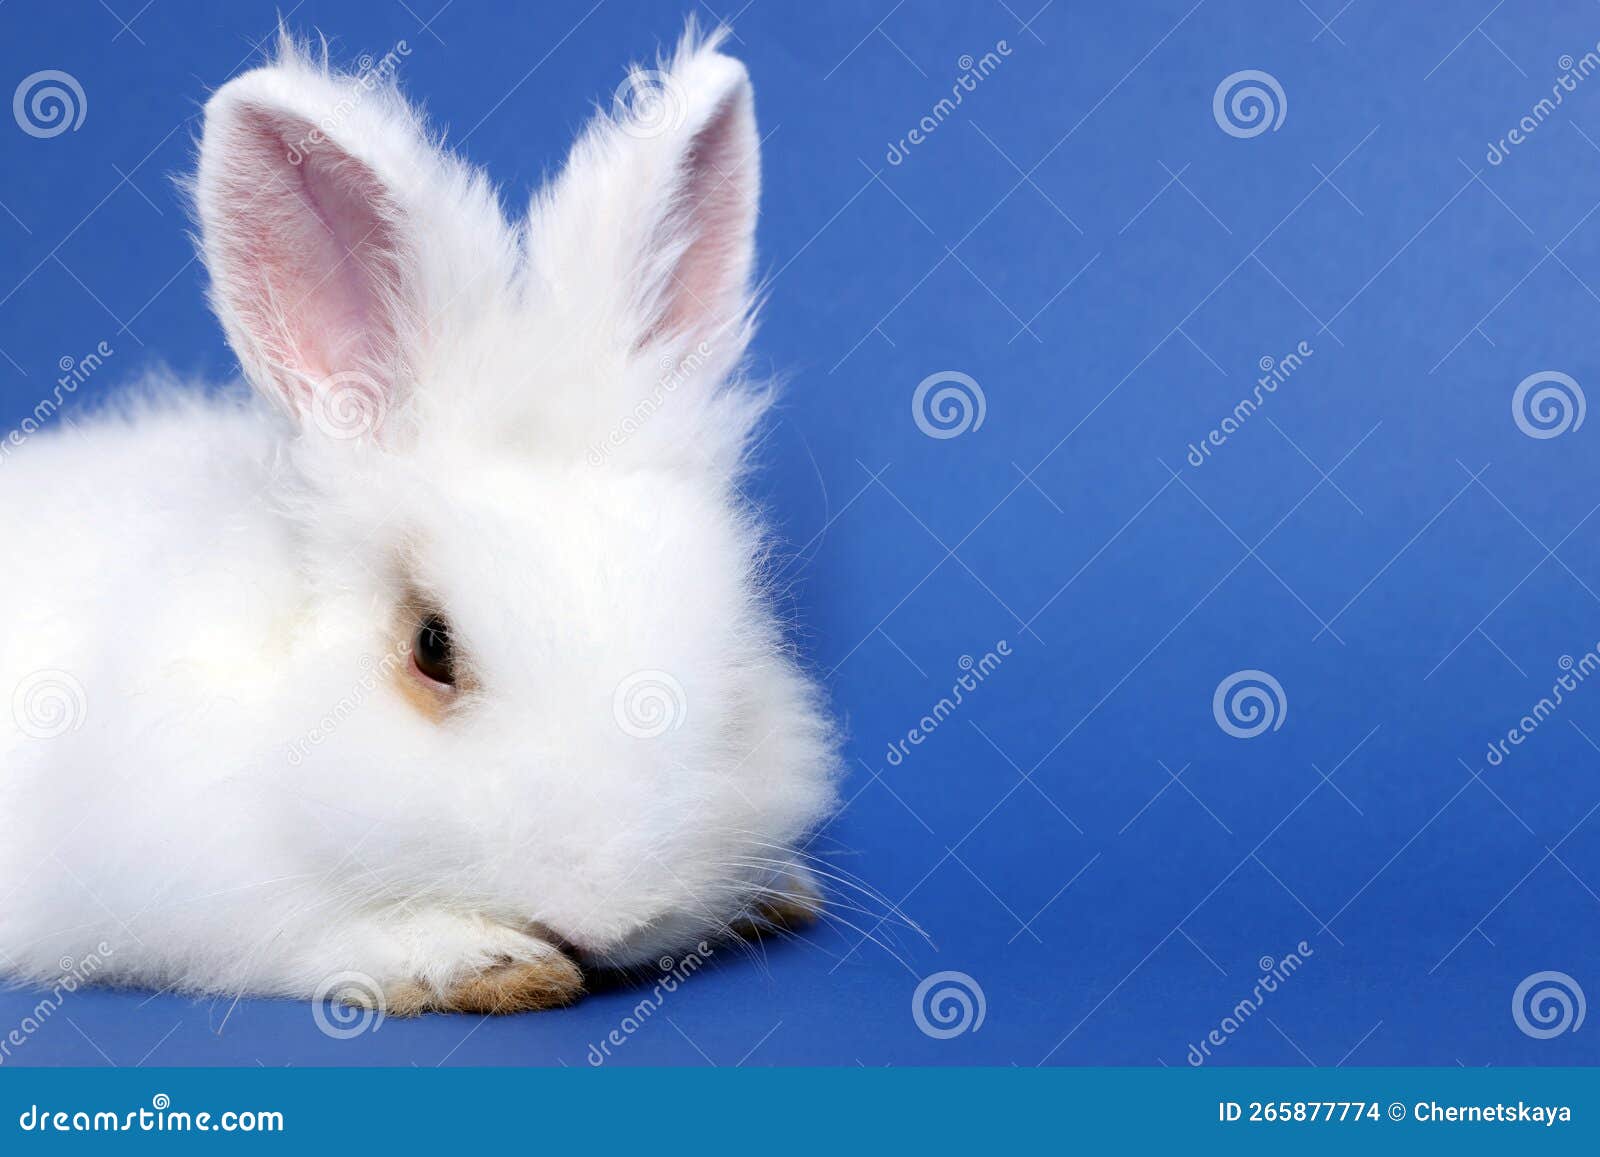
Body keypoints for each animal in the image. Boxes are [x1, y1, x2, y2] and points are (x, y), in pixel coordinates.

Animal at [0, 23, 840, 1015]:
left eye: (736, 636)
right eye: (431, 646)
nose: (604, 917)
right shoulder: (184, 881)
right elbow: (327, 933)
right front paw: (488, 960)